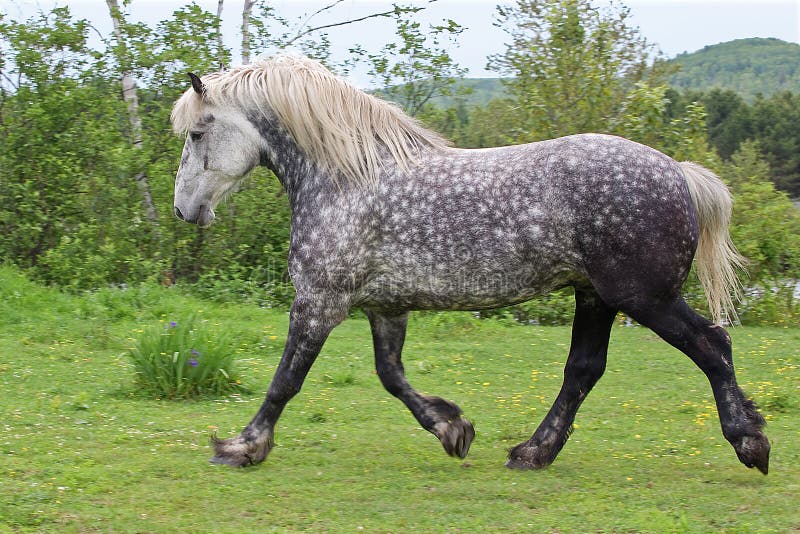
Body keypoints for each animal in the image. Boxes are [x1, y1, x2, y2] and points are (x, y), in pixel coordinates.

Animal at [170, 54, 770, 474]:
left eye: (198, 133)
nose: (184, 209)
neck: (347, 178)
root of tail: (678, 171)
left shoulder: (319, 301)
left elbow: (285, 381)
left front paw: (242, 446)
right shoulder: (384, 307)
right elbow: (391, 376)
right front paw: (451, 429)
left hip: (643, 297)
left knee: (713, 346)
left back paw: (750, 441)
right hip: (596, 295)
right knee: (583, 370)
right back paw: (533, 452)